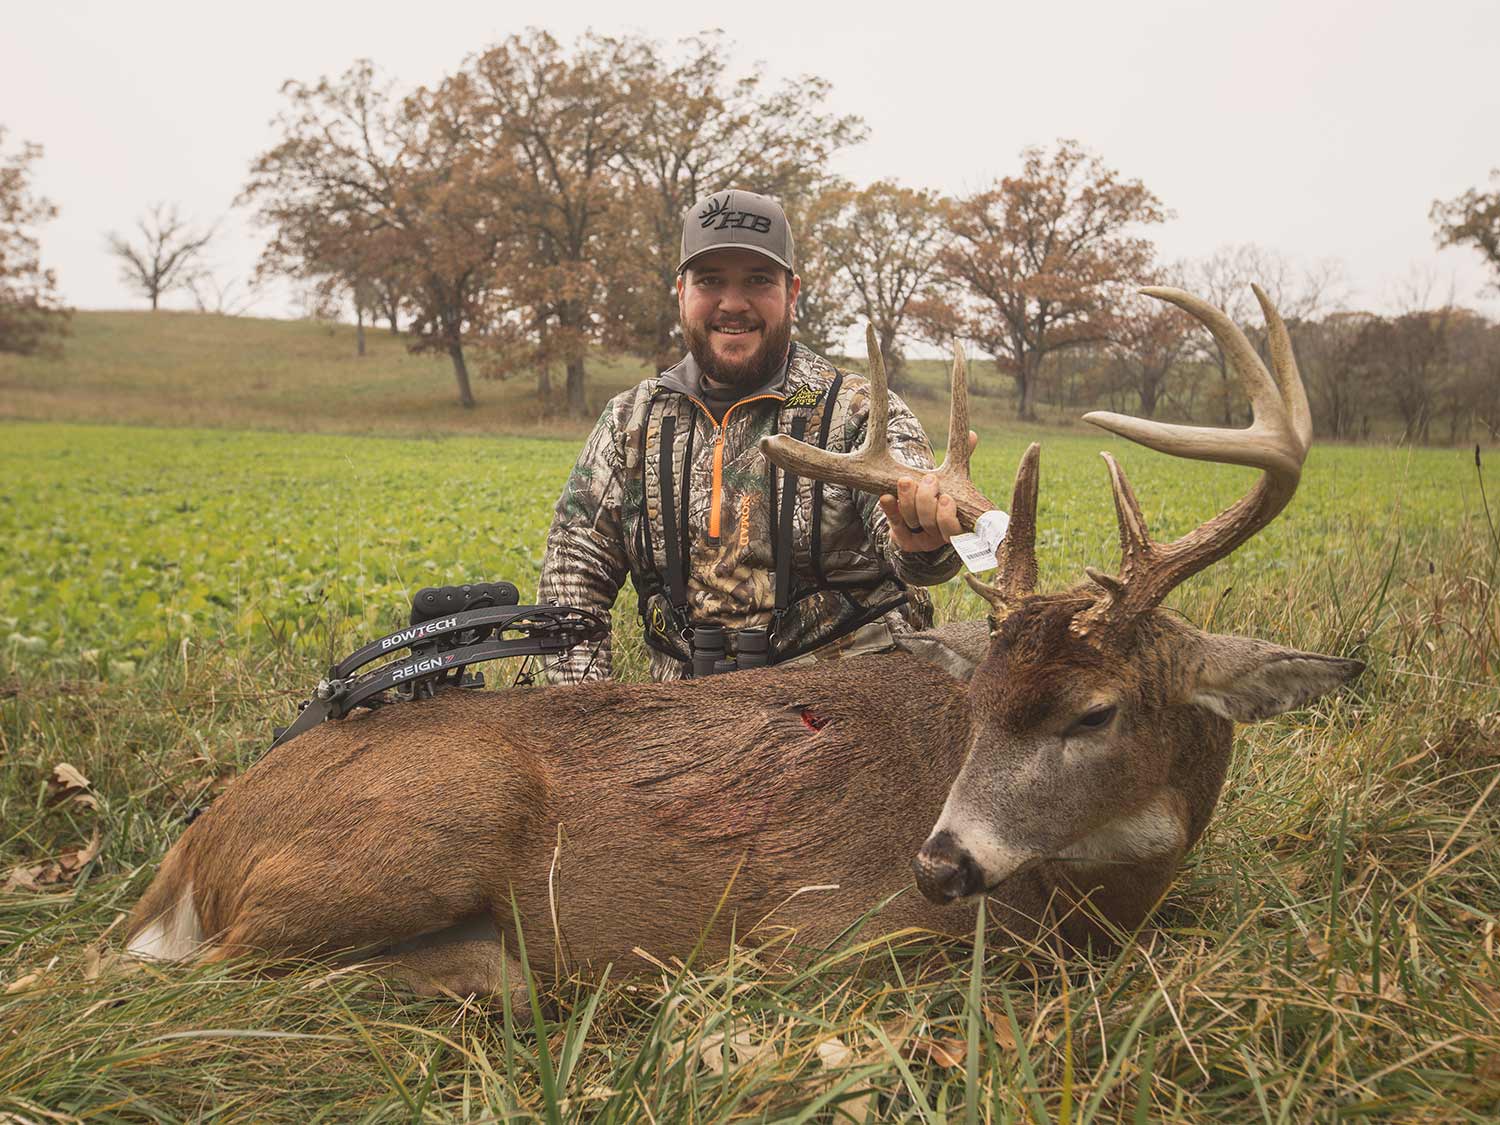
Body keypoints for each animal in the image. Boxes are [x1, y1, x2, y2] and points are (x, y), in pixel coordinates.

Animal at [124, 286, 1363, 1002]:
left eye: (1094, 711)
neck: (1091, 900)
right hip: (435, 819)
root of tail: (191, 853)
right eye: (982, 705)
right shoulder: (814, 936)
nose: (937, 862)